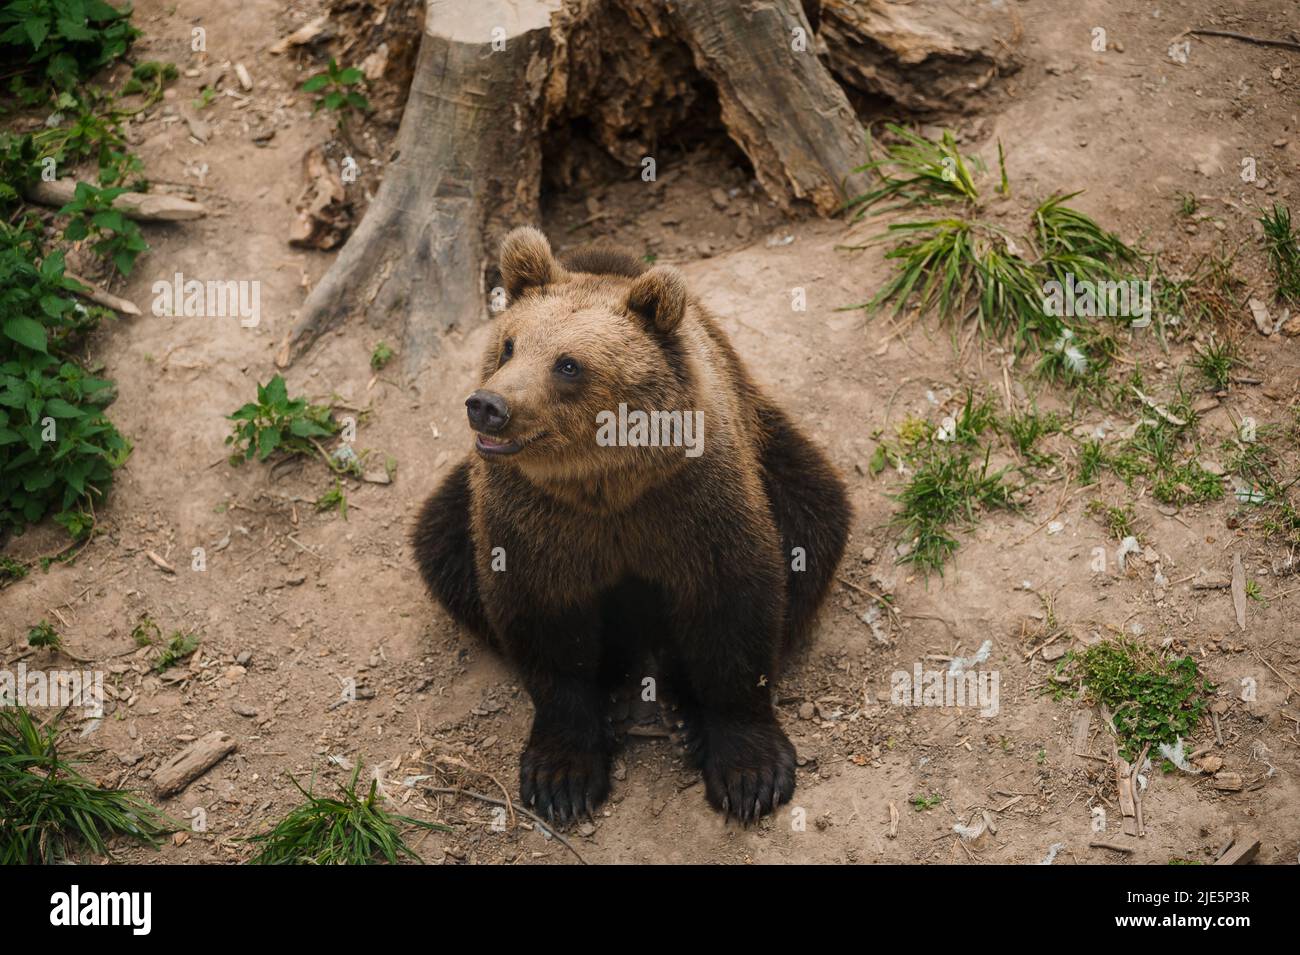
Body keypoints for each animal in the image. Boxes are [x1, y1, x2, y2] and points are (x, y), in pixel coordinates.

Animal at [412, 226, 850, 825]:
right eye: (509, 345)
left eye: (568, 364)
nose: (488, 405)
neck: (607, 484)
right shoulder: (533, 517)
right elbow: (543, 621)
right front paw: (562, 775)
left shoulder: (691, 497)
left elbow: (734, 603)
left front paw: (749, 771)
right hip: (461, 509)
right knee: (443, 550)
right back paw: (618, 687)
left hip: (771, 448)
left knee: (816, 517)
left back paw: (682, 708)